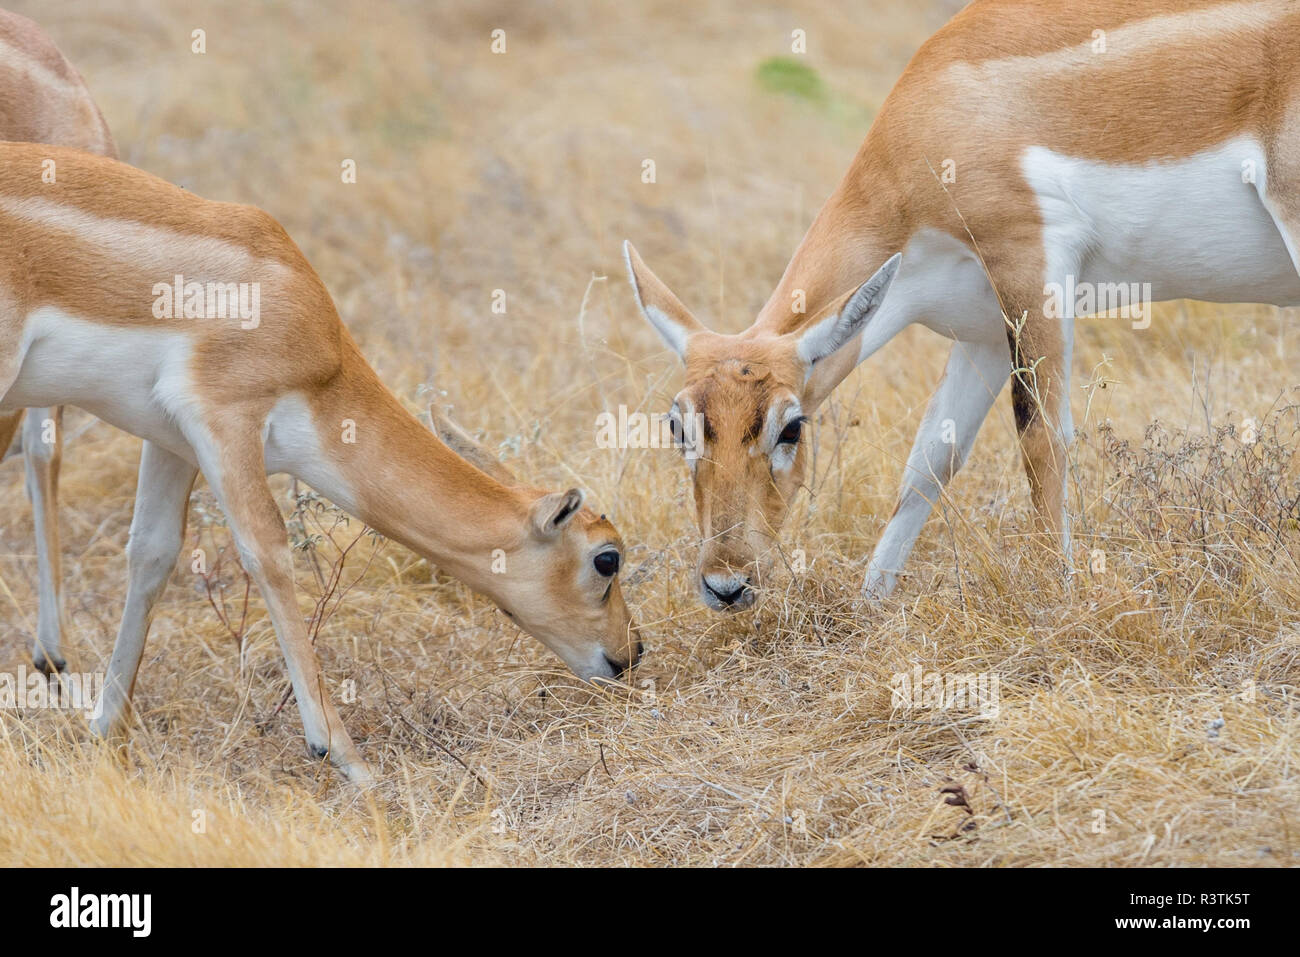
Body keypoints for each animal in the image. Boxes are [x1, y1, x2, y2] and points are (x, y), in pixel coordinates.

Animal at [0, 142, 641, 783]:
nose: (630, 654)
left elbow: (151, 554)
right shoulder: (226, 418)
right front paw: (345, 757)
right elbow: (268, 550)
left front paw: (105, 732)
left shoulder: (171, 440)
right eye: (606, 558)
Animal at [624, 0, 1300, 610]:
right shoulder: (981, 330)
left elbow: (1041, 436)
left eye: (791, 425)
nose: (725, 584)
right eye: (677, 425)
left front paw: (1059, 595)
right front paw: (870, 605)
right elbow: (930, 459)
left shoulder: (1030, 264)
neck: (933, 112)